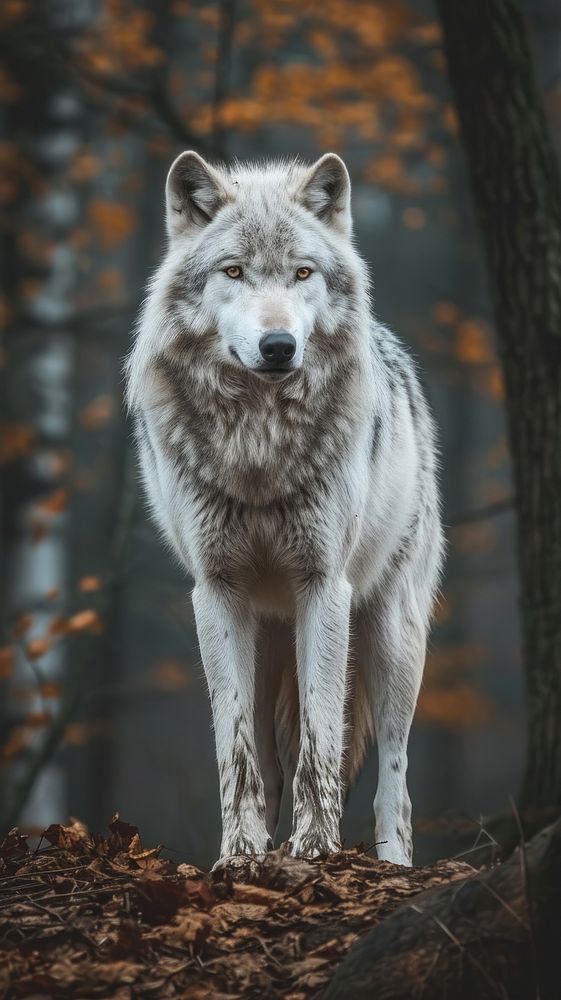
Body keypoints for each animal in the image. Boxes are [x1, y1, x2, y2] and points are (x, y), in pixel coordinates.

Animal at [125, 150, 443, 866]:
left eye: (302, 272)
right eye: (233, 272)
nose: (278, 346)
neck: (259, 452)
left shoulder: (323, 586)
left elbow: (321, 740)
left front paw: (316, 850)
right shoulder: (216, 592)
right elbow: (236, 749)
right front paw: (240, 856)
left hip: (391, 636)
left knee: (397, 781)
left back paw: (390, 864)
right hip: (268, 636)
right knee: (271, 762)